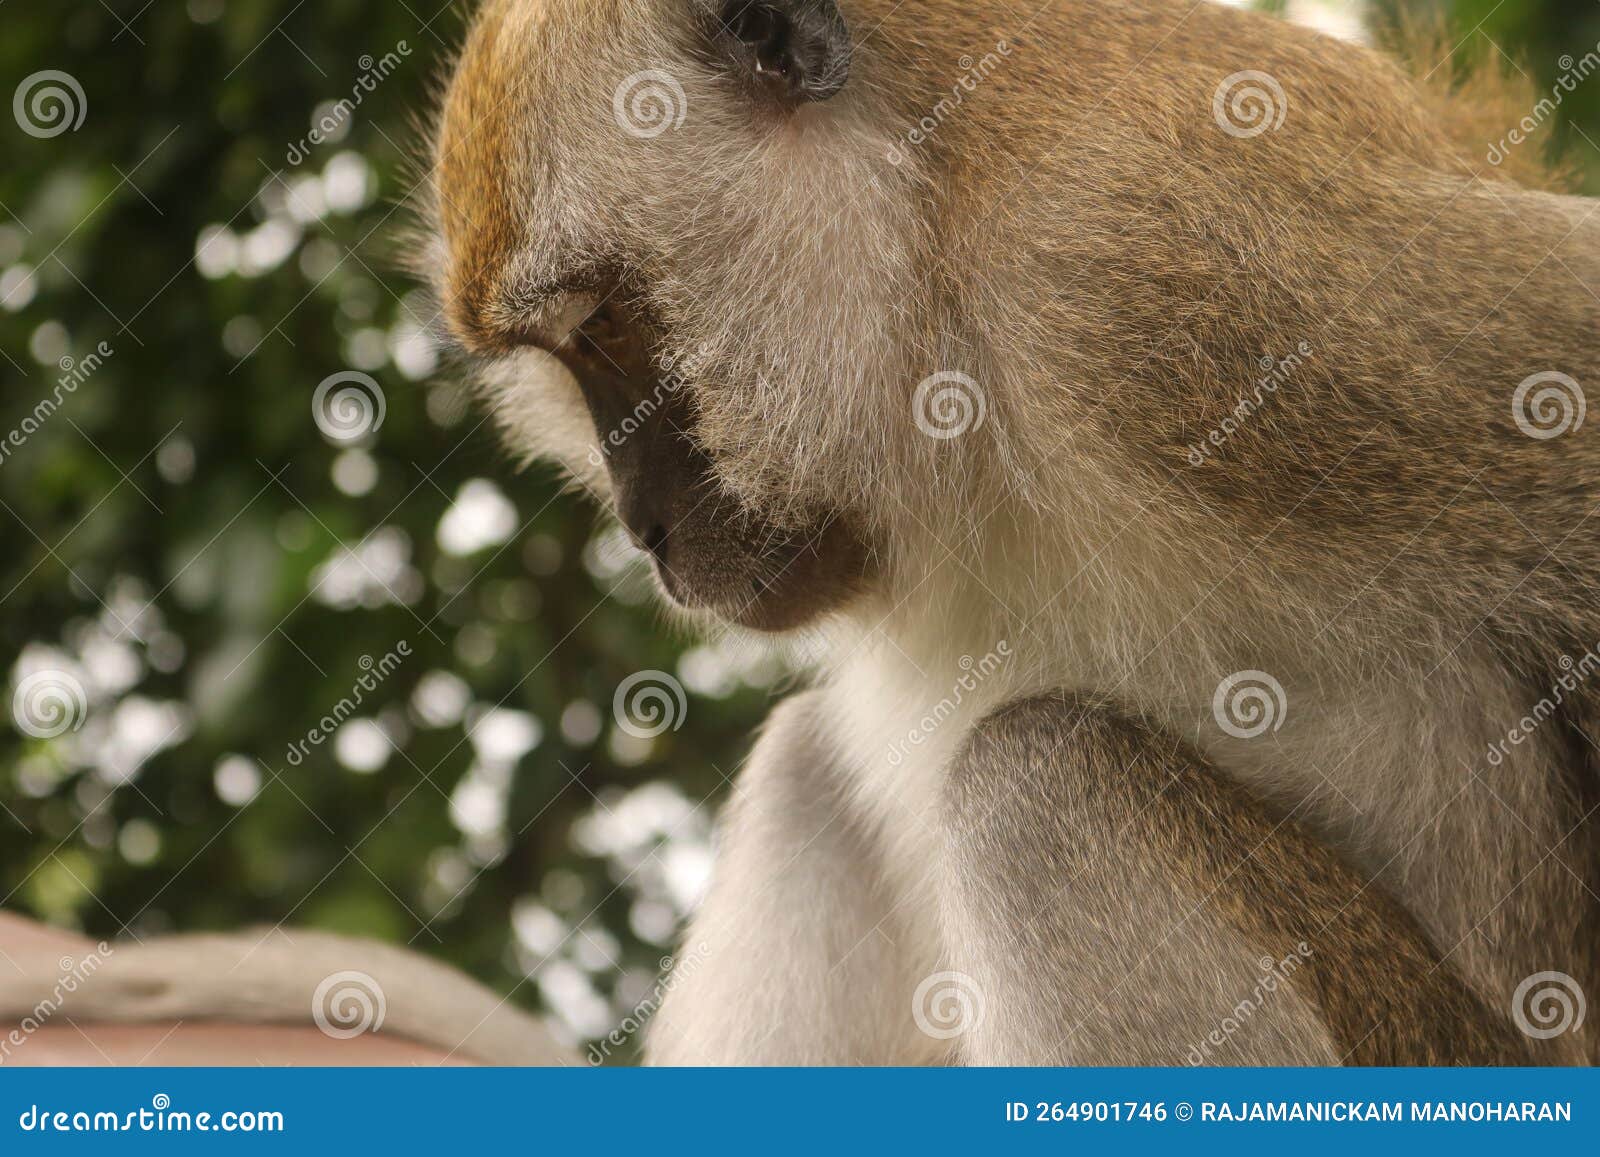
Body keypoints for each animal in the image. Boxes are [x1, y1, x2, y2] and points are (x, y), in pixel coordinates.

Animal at [4, 0, 1596, 1065]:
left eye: (613, 333)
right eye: (574, 370)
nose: (645, 526)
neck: (939, 277)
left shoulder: (1147, 273)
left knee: (1041, 787)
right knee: (815, 774)